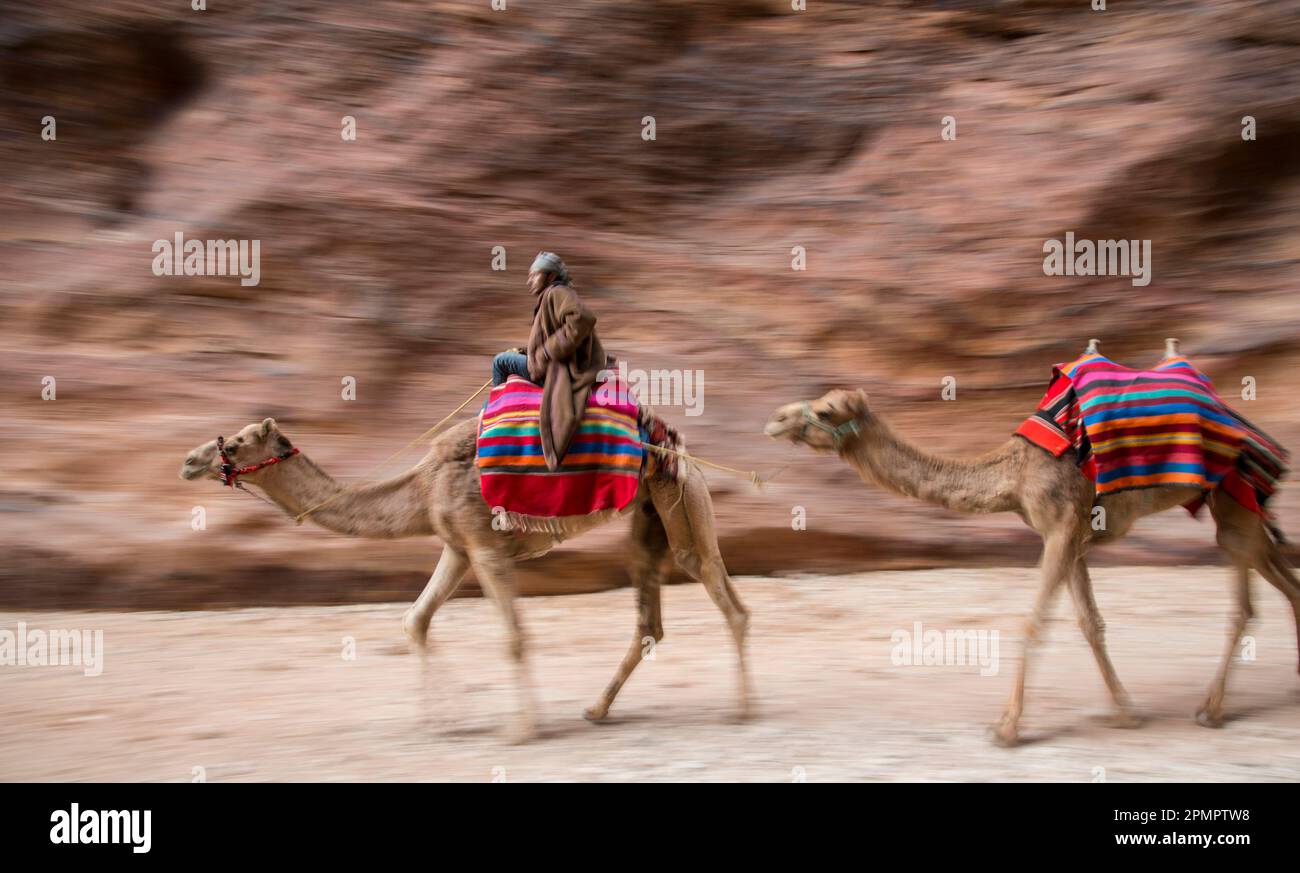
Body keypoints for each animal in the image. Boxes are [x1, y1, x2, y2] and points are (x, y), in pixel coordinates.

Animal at [179, 416, 752, 742]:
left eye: (234, 444)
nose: (188, 460)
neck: (422, 484)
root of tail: (679, 446)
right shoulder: (457, 547)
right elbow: (415, 620)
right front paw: (446, 720)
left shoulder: (486, 546)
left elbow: (515, 636)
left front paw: (520, 730)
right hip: (647, 516)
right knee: (649, 620)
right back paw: (595, 709)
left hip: (684, 503)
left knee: (726, 597)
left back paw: (742, 711)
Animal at [763, 341, 1300, 746]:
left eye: (826, 408)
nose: (776, 419)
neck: (1014, 474)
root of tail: (1249, 429)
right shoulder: (1074, 534)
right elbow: (1090, 624)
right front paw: (1125, 712)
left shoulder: (1060, 527)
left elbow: (1034, 621)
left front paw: (1006, 728)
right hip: (1239, 507)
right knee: (1284, 577)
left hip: (1232, 499)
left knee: (1245, 602)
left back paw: (1211, 709)